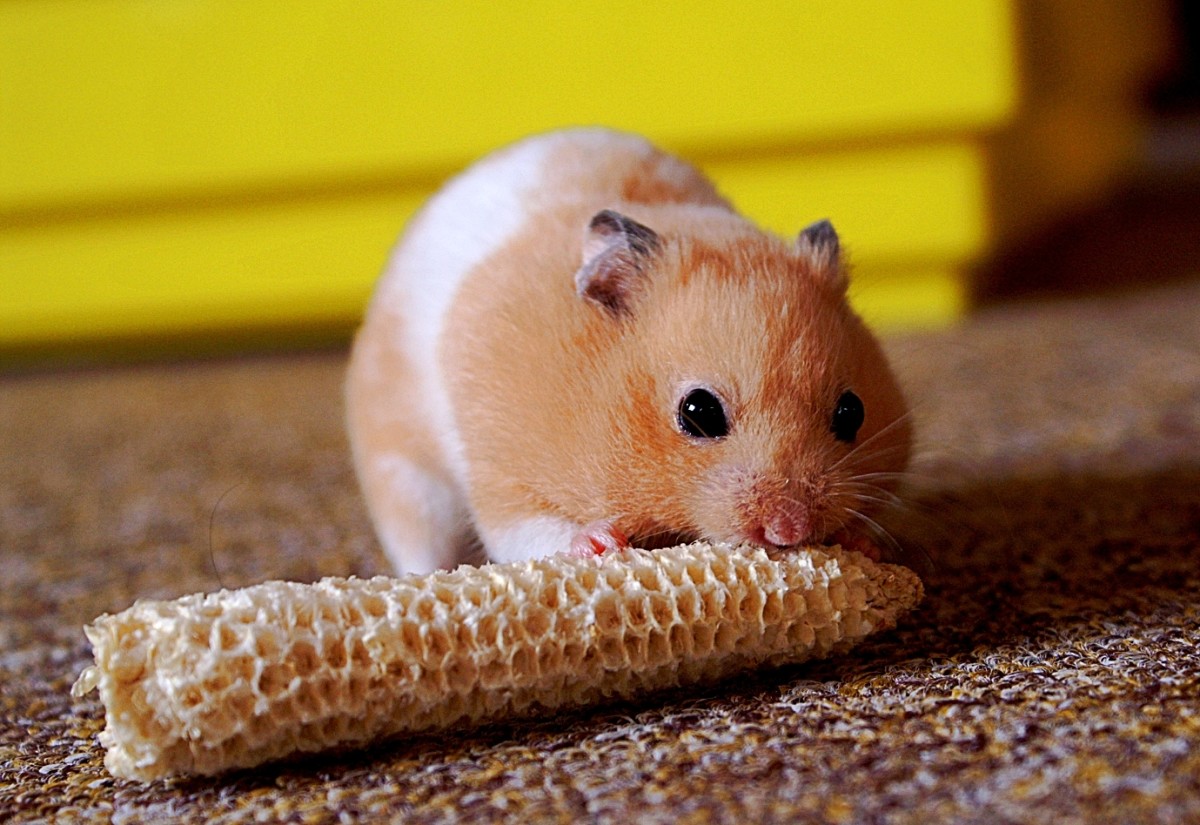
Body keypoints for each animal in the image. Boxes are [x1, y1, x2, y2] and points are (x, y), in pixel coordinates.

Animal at [346, 128, 912, 574]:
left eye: (852, 412)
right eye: (699, 412)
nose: (789, 529)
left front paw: (868, 544)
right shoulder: (502, 474)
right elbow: (526, 528)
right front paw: (604, 545)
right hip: (405, 476)